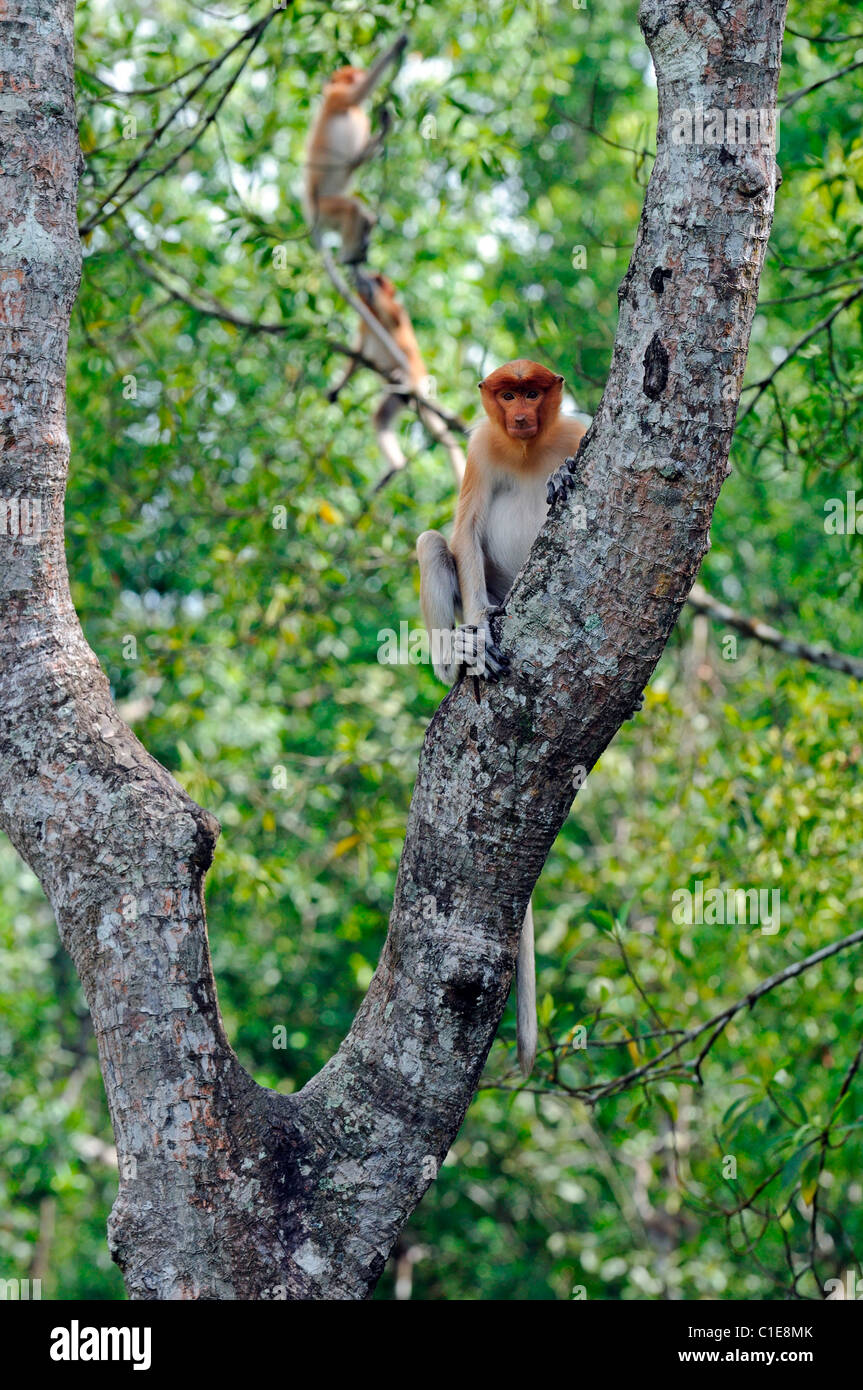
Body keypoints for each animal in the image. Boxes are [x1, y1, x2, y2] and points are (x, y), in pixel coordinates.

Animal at [304, 34, 407, 265]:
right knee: (351, 209)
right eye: (353, 75)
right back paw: (348, 256)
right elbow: (356, 95)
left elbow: (356, 161)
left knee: (360, 213)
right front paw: (397, 46)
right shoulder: (336, 96)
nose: (359, 76)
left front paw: (386, 125)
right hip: (323, 207)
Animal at [327, 268, 466, 484]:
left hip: (416, 379)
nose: (372, 282)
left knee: (408, 355)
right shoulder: (364, 324)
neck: (373, 315)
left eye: (380, 281)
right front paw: (337, 388)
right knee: (381, 417)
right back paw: (396, 466)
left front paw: (367, 285)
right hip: (397, 397)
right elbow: (358, 356)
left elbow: (396, 317)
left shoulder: (395, 313)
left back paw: (403, 376)